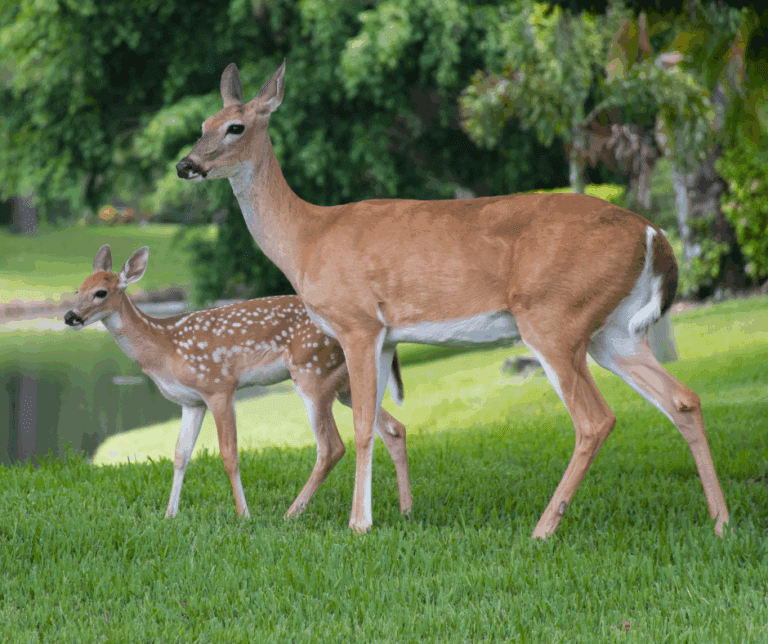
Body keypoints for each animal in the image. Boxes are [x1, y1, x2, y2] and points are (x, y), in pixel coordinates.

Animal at [64, 245, 413, 520]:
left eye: (101, 292)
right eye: (77, 289)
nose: (69, 316)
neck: (165, 348)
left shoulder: (218, 385)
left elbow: (229, 454)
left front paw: (243, 514)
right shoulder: (191, 401)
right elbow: (180, 455)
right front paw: (169, 515)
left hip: (311, 372)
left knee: (332, 446)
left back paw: (291, 513)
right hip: (342, 384)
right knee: (393, 428)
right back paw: (406, 509)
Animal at [175, 60, 730, 538]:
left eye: (235, 127)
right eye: (203, 123)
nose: (185, 165)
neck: (306, 237)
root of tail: (654, 234)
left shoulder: (357, 321)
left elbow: (362, 425)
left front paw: (359, 523)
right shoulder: (386, 336)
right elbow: (384, 426)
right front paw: (390, 513)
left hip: (554, 317)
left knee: (595, 419)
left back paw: (543, 529)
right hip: (612, 331)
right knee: (682, 398)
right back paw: (720, 521)